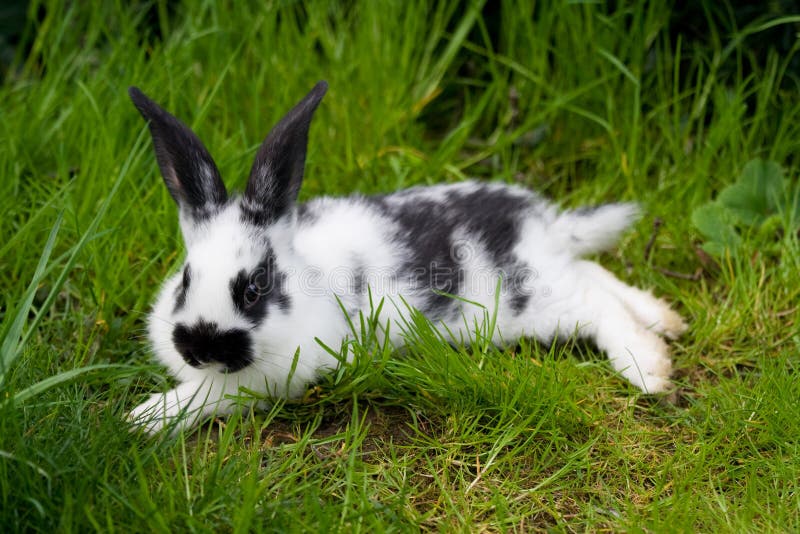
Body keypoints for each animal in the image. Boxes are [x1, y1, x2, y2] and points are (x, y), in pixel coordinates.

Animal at [127, 81, 687, 434]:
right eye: (185, 279)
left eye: (253, 289)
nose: (200, 346)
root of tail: (542, 223)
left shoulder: (274, 378)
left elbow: (206, 395)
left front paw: (141, 420)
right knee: (593, 272)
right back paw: (666, 319)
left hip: (533, 303)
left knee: (597, 306)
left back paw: (650, 368)